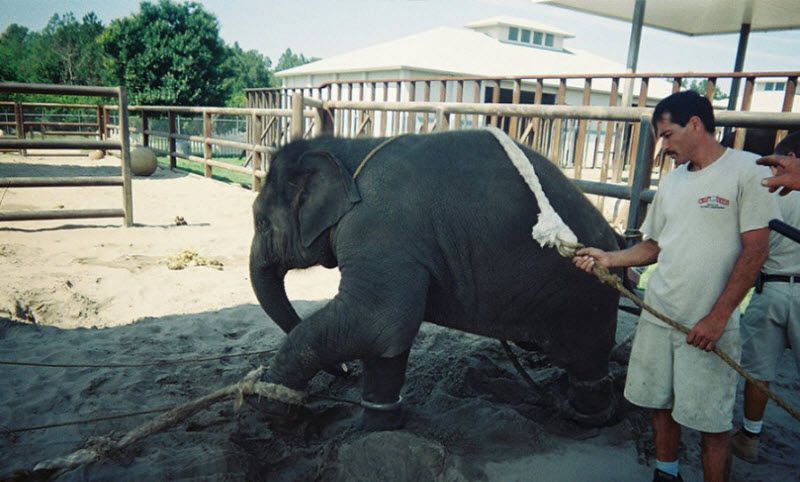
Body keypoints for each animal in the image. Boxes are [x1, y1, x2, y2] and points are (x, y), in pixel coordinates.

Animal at [249, 129, 623, 429]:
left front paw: (271, 405)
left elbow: (376, 320)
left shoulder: (380, 232)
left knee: (583, 357)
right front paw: (379, 426)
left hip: (583, 296)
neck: (350, 150)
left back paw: (583, 417)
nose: (344, 371)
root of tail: (616, 240)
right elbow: (386, 338)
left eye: (261, 222)